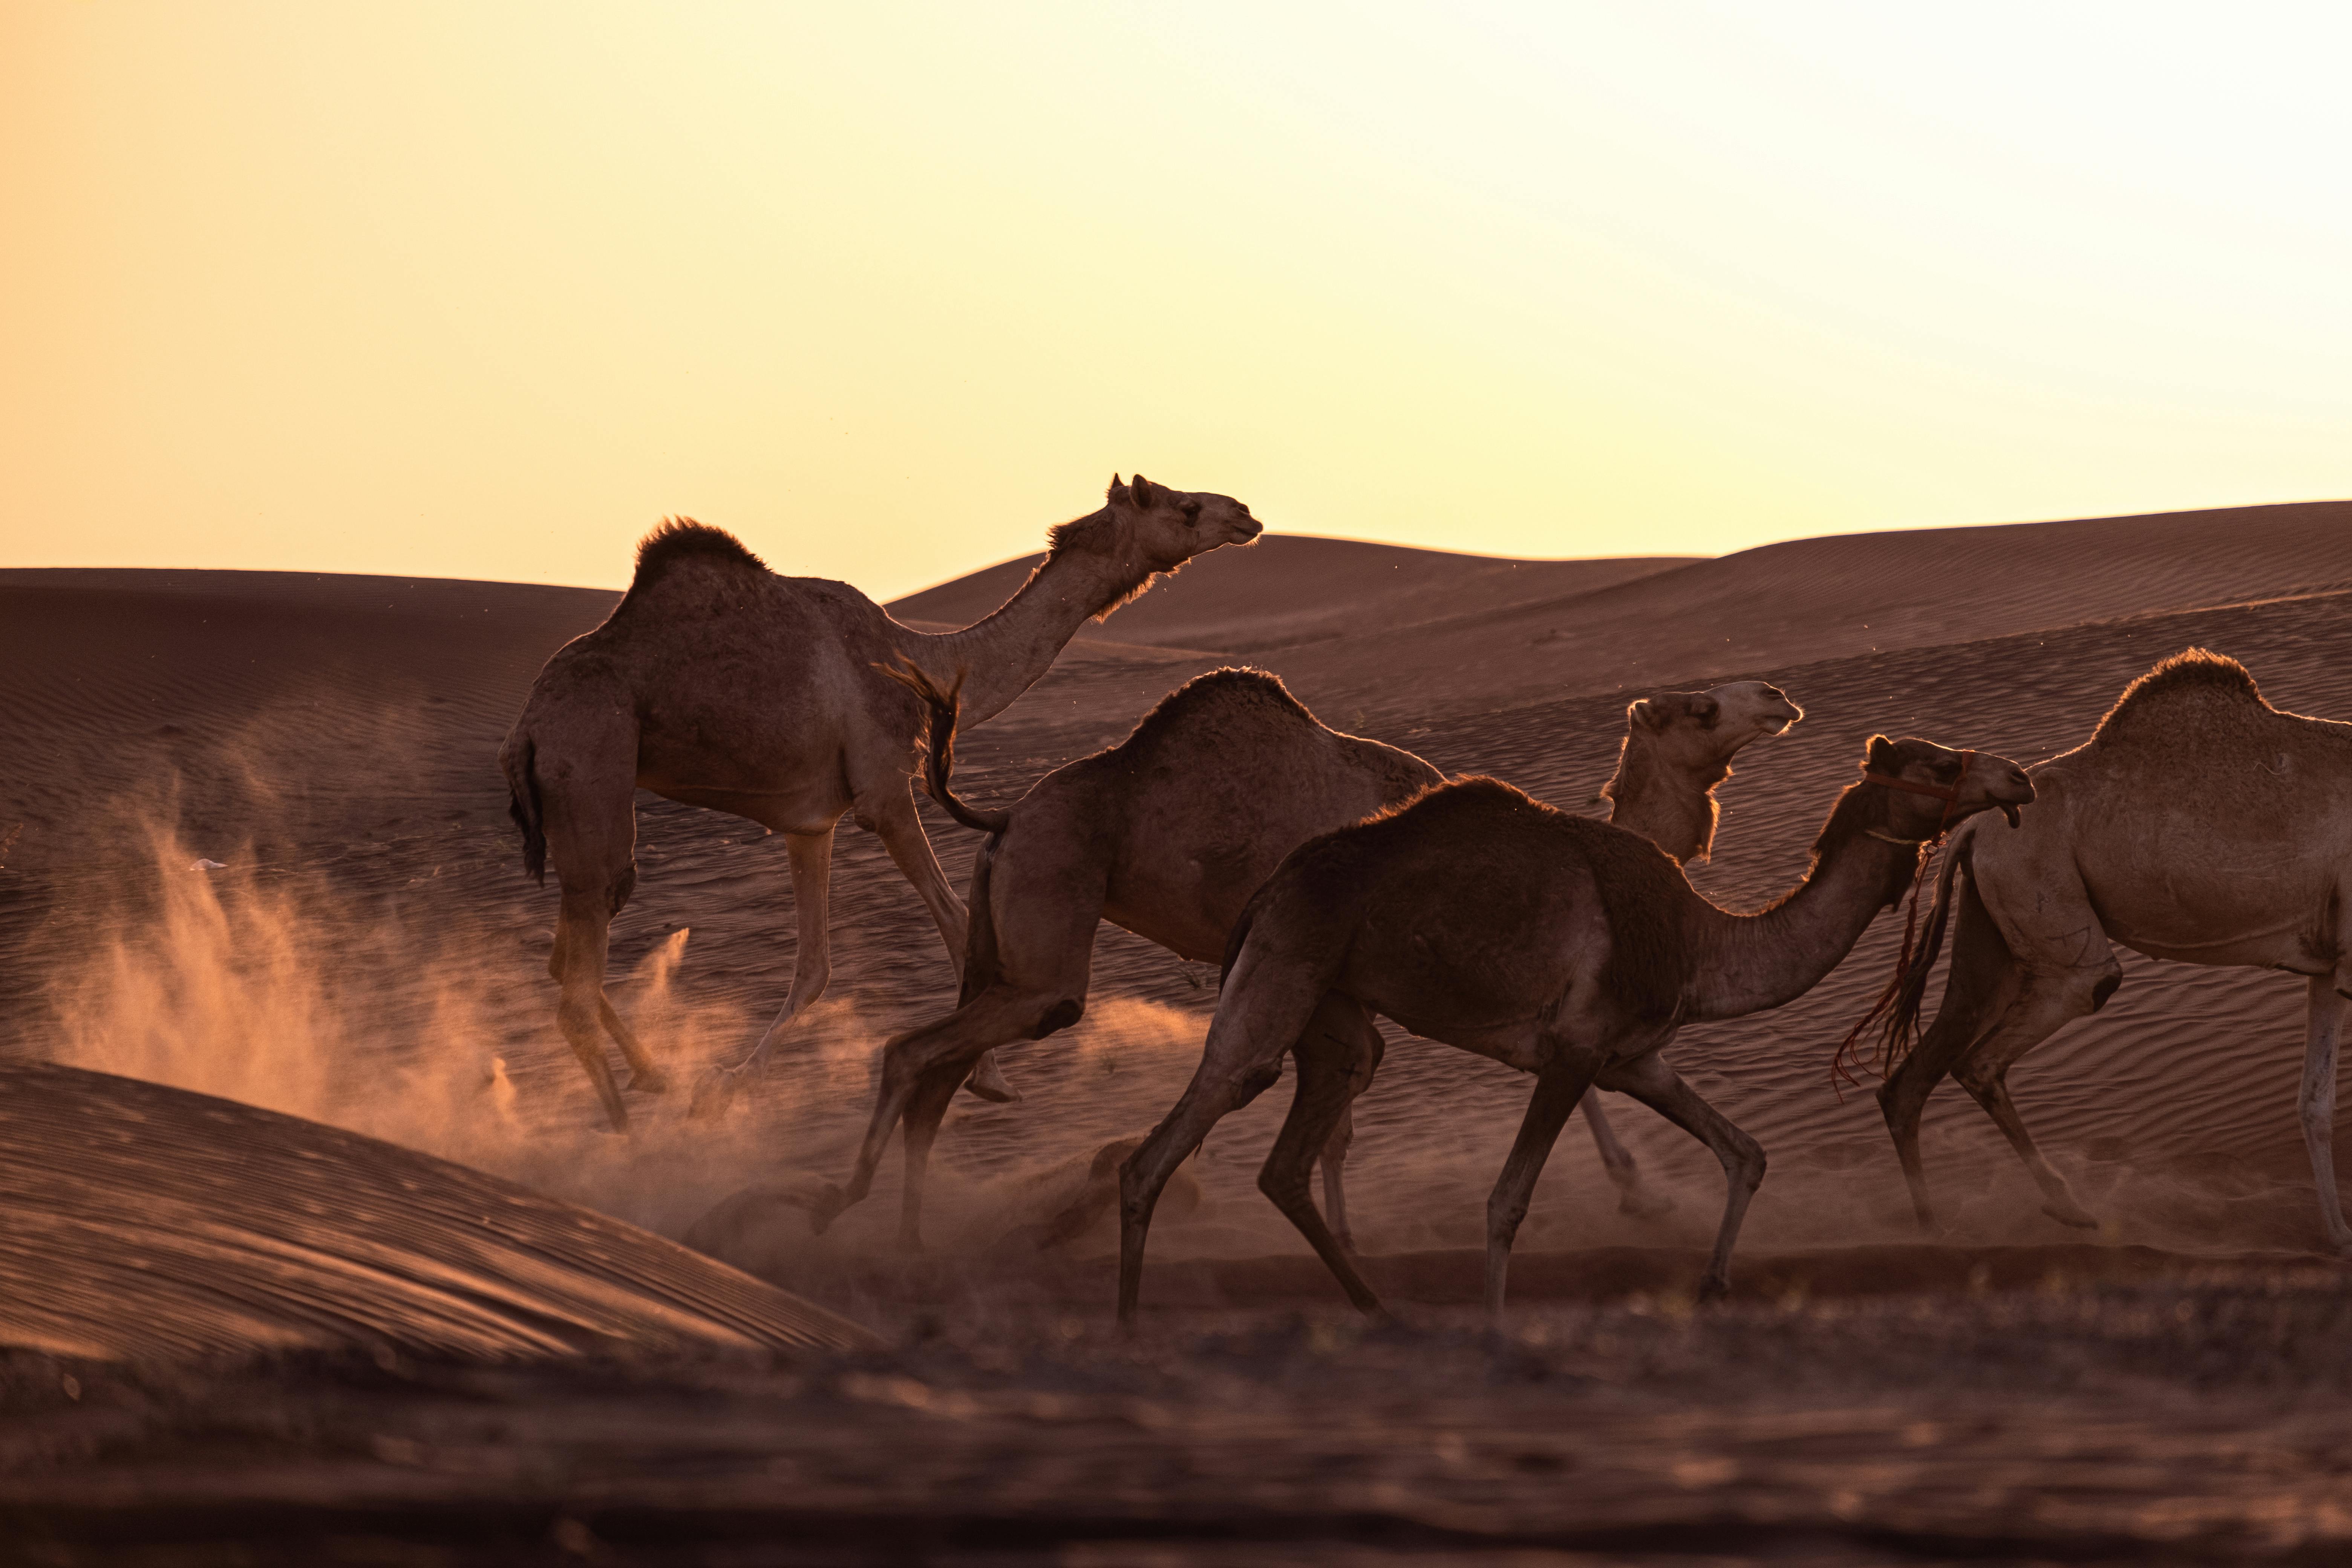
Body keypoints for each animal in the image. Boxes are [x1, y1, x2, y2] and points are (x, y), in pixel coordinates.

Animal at [498, 476, 1262, 1130]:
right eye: (1186, 507)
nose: (1247, 514)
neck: (930, 663)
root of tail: (526, 731)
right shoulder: (887, 793)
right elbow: (955, 921)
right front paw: (990, 1079)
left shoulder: (809, 824)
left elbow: (815, 966)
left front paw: (728, 1084)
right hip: (590, 766)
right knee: (575, 984)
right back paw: (627, 1139)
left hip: (583, 814)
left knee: (569, 957)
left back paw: (656, 1078)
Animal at [808, 668, 1802, 1246]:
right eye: (1701, 707)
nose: (1778, 696)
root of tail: (1007, 816)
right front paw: (1638, 1194)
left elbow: (1342, 1118)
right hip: (1050, 921)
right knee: (924, 1049)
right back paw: (844, 1209)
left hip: (997, 933)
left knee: (942, 1065)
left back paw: (913, 1240)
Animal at [1116, 737, 2033, 1324]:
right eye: (1941, 763)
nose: (2020, 778)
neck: (1701, 943)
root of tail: (1267, 892)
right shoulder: (1575, 1051)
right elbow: (1507, 1201)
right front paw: (1496, 1329)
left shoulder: (1636, 1060)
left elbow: (1746, 1152)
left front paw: (1713, 1285)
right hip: (1285, 970)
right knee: (1168, 1143)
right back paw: (1127, 1329)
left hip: (1335, 1016)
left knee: (1291, 1158)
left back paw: (1381, 1311)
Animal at [1872, 649, 2352, 1254]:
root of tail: (1975, 831)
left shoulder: (2331, 962)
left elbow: (2315, 1101)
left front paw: (2337, 1235)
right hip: (2048, 908)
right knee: (1996, 1049)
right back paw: (2063, 1208)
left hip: (1992, 925)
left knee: (1915, 1073)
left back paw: (1940, 1229)